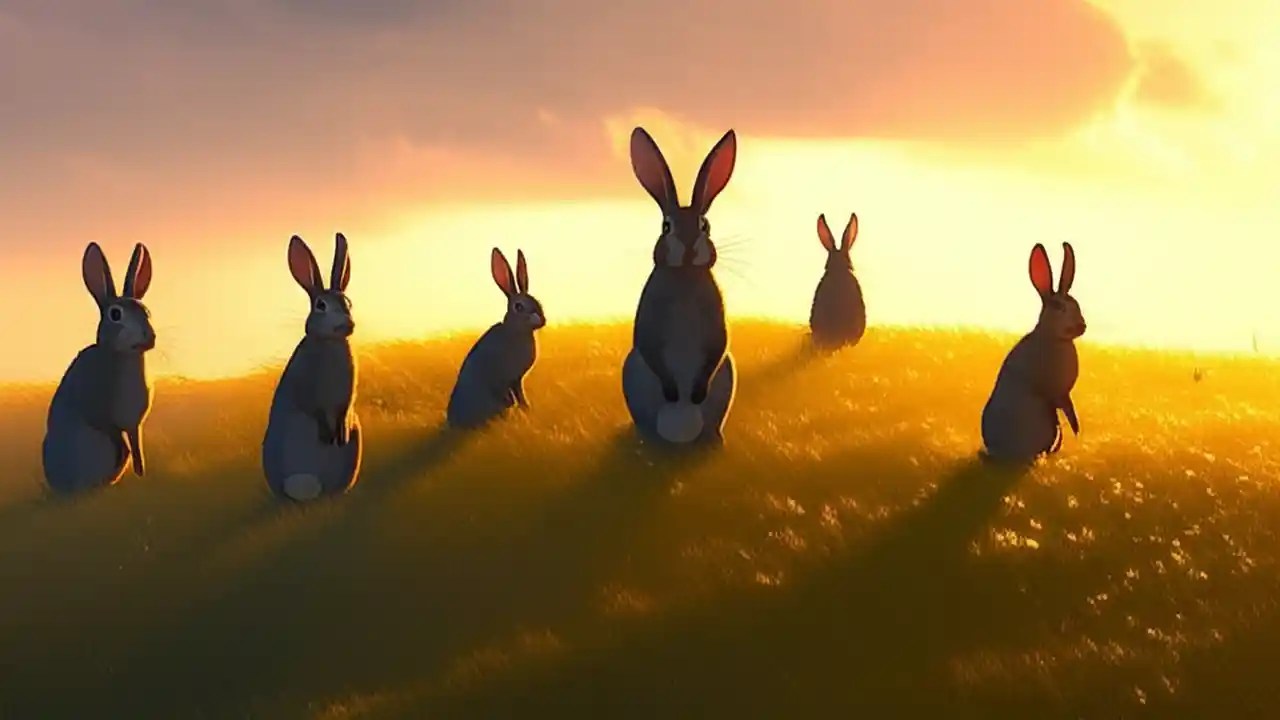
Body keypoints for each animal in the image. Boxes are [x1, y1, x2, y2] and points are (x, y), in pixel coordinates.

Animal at [42, 242, 157, 494]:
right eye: (115, 314)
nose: (149, 337)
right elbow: (115, 435)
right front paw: (123, 458)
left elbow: (136, 446)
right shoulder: (98, 411)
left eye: (146, 311)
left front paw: (140, 473)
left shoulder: (134, 425)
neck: (121, 357)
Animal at [261, 233, 363, 502]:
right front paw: (327, 434)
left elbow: (344, 409)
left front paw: (340, 433)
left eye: (348, 302)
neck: (329, 342)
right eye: (321, 305)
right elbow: (313, 407)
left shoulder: (347, 394)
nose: (347, 325)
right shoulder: (304, 385)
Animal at [446, 248, 545, 429]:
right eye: (518, 306)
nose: (542, 320)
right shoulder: (508, 379)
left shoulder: (515, 380)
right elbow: (515, 396)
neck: (514, 331)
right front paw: (522, 409)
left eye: (538, 301)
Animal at [621, 126, 739, 445]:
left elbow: (717, 344)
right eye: (666, 227)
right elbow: (647, 341)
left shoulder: (716, 321)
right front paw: (673, 391)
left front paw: (696, 393)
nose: (687, 246)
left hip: (726, 375)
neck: (685, 274)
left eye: (704, 226)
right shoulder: (648, 318)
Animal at [981, 242, 1086, 463]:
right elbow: (1065, 407)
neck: (1053, 337)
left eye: (1076, 304)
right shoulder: (1057, 392)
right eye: (1058, 307)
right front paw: (1076, 431)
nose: (1082, 326)